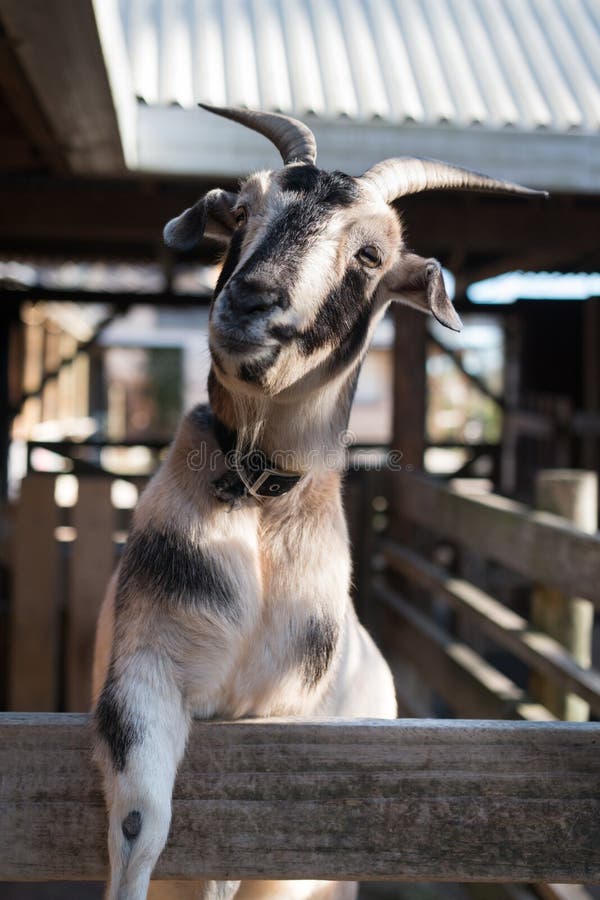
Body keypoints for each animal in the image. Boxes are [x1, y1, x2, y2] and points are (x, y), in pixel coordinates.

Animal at [92, 105, 545, 900]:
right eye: (243, 211)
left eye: (369, 254)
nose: (250, 303)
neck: (254, 505)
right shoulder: (147, 663)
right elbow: (139, 821)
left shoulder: (284, 719)